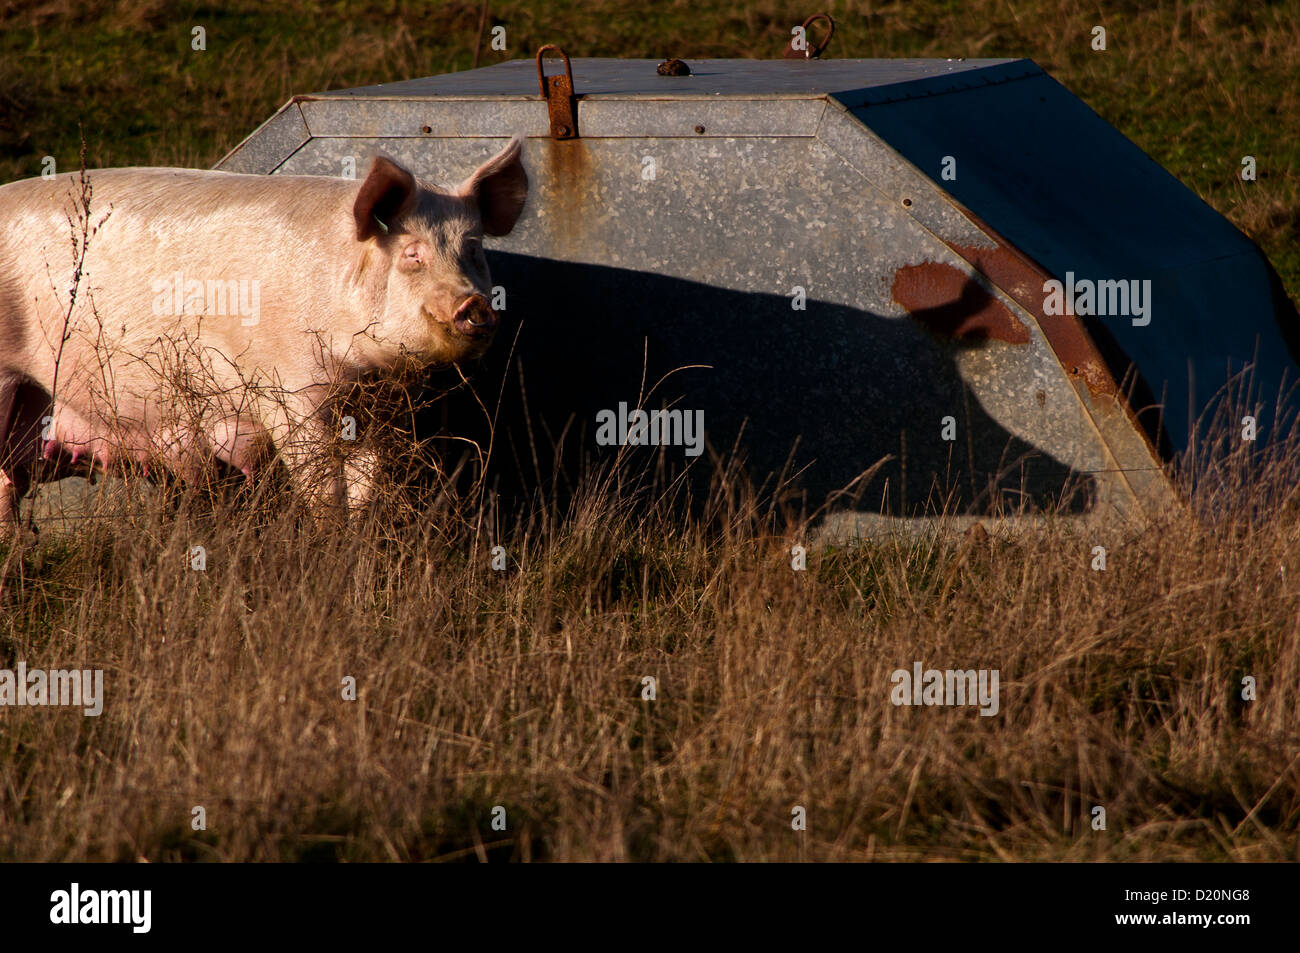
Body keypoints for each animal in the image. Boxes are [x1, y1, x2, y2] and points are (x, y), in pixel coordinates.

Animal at [0, 138, 528, 534]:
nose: (474, 305)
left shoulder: (385, 410)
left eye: (473, 250)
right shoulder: (291, 393)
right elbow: (323, 488)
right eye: (413, 254)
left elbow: (367, 487)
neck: (364, 371)